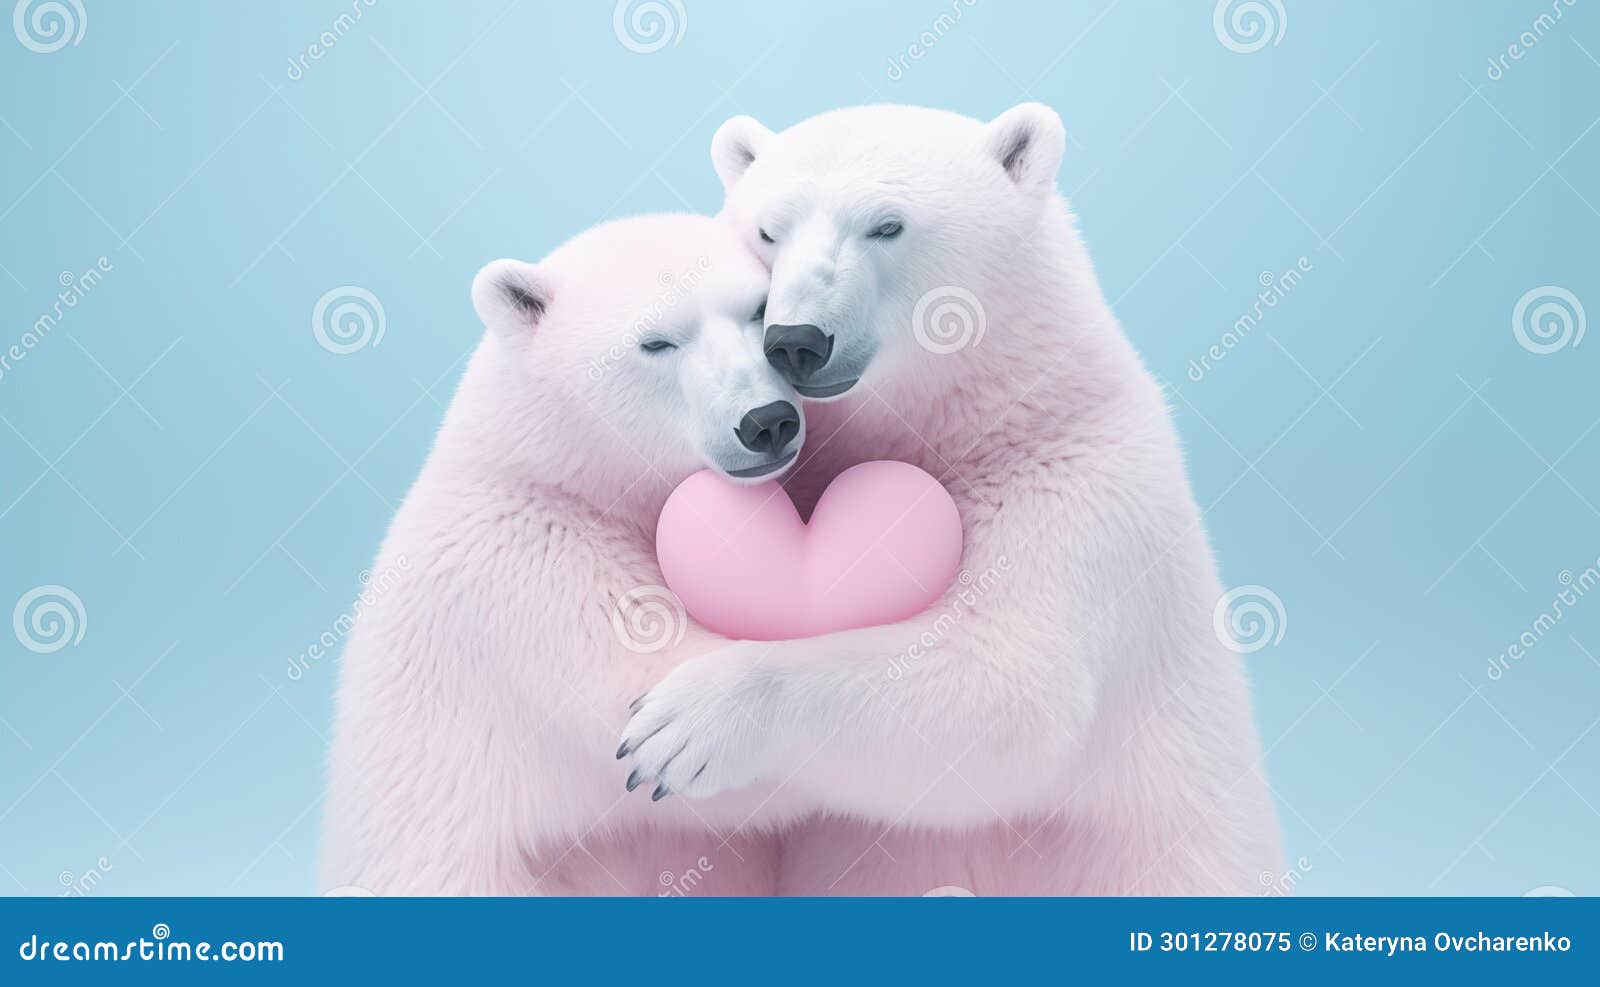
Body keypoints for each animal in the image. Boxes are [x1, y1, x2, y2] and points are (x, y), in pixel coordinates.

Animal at [616, 104, 1285, 895]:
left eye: (887, 225)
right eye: (768, 232)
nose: (796, 340)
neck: (970, 416)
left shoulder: (1074, 483)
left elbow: (1011, 687)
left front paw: (678, 725)